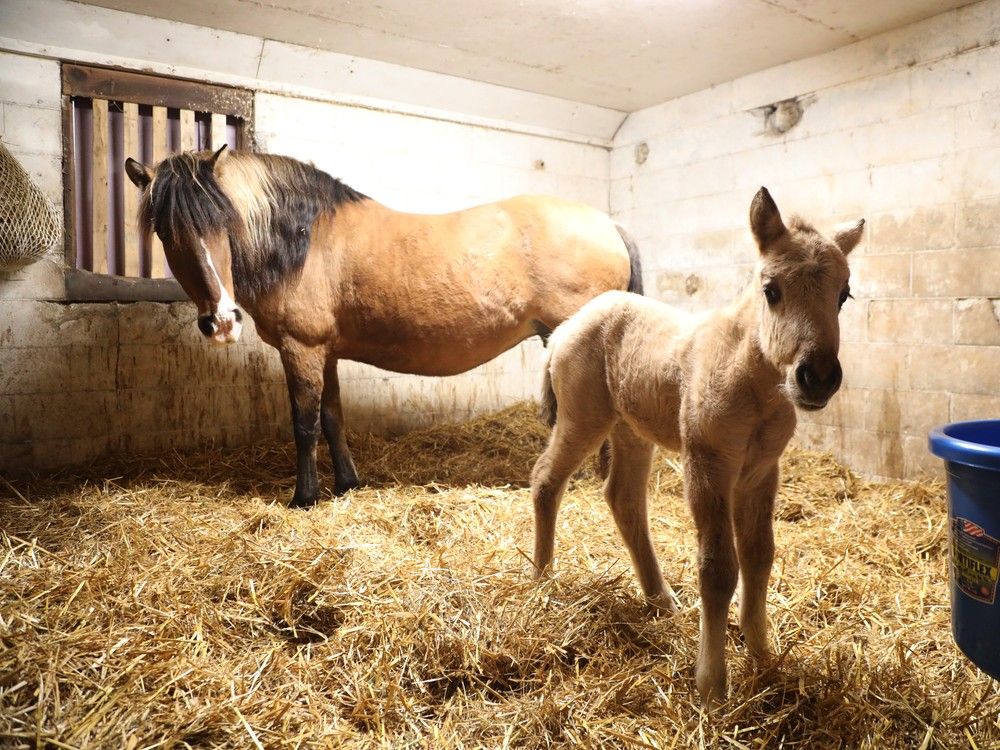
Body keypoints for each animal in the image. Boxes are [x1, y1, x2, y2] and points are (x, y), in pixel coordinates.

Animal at [124, 145, 643, 508]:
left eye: (223, 221)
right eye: (165, 231)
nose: (222, 322)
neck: (303, 240)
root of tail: (611, 226)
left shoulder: (301, 348)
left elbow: (305, 423)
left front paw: (304, 497)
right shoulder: (325, 351)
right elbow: (332, 417)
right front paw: (346, 485)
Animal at [529, 187, 863, 705]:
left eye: (843, 294)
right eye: (772, 290)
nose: (818, 376)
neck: (755, 383)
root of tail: (565, 328)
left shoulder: (761, 471)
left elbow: (760, 555)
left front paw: (761, 652)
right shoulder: (709, 465)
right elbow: (718, 567)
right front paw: (712, 685)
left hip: (631, 429)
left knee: (623, 498)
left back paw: (660, 598)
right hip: (584, 419)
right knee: (546, 479)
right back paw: (542, 581)